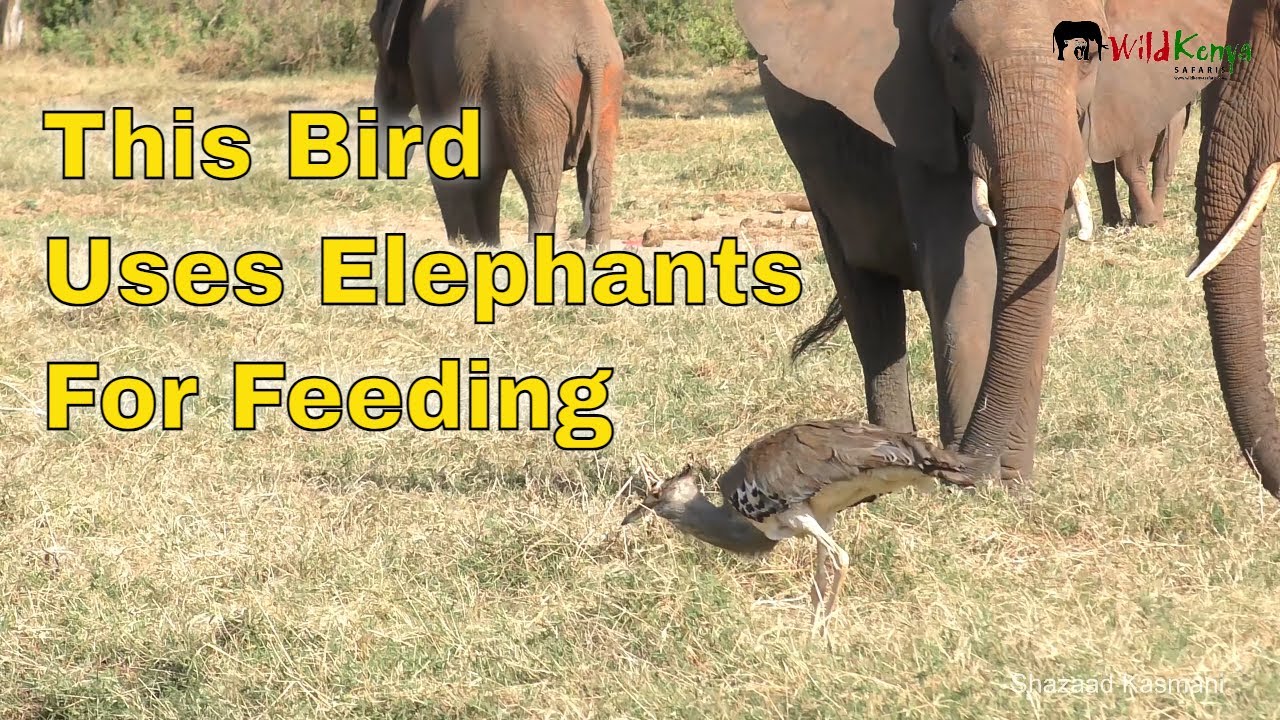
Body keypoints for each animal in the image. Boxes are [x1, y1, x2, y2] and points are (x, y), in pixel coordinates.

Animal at [369, 0, 624, 248]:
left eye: (372, 36)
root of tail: (591, 46)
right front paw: (486, 245)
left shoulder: (425, 66)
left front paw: (463, 245)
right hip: (605, 89)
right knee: (598, 171)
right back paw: (597, 249)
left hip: (529, 91)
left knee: (539, 176)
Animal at [737, 0, 1227, 483]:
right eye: (955, 58)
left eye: (1089, 56)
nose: (951, 465)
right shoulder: (917, 118)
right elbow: (965, 275)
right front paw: (981, 480)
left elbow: (1038, 280)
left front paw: (1012, 482)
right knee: (869, 306)